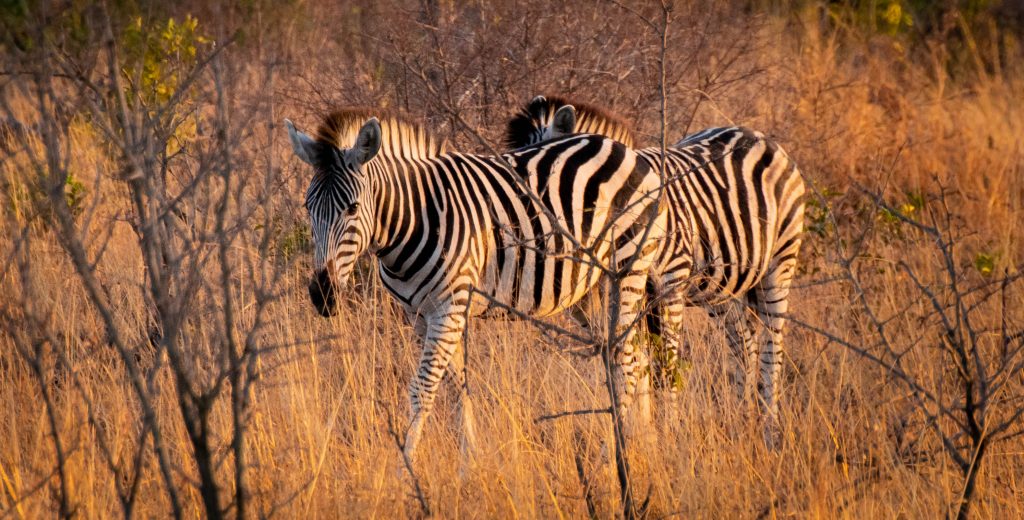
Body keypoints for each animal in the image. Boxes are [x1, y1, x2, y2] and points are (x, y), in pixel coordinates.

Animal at [286, 108, 666, 461]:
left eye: (352, 208)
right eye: (307, 206)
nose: (322, 295)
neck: (414, 218)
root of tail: (626, 150)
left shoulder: (449, 307)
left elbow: (423, 388)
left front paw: (405, 469)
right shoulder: (421, 314)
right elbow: (457, 385)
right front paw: (468, 464)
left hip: (627, 268)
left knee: (627, 363)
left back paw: (610, 456)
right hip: (591, 288)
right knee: (632, 356)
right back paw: (643, 441)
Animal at [505, 96, 806, 434]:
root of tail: (754, 134)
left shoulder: (670, 282)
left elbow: (664, 365)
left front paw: (669, 432)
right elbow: (638, 362)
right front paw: (647, 434)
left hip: (780, 262)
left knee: (772, 349)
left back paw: (770, 428)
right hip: (720, 289)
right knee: (745, 345)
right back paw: (743, 423)